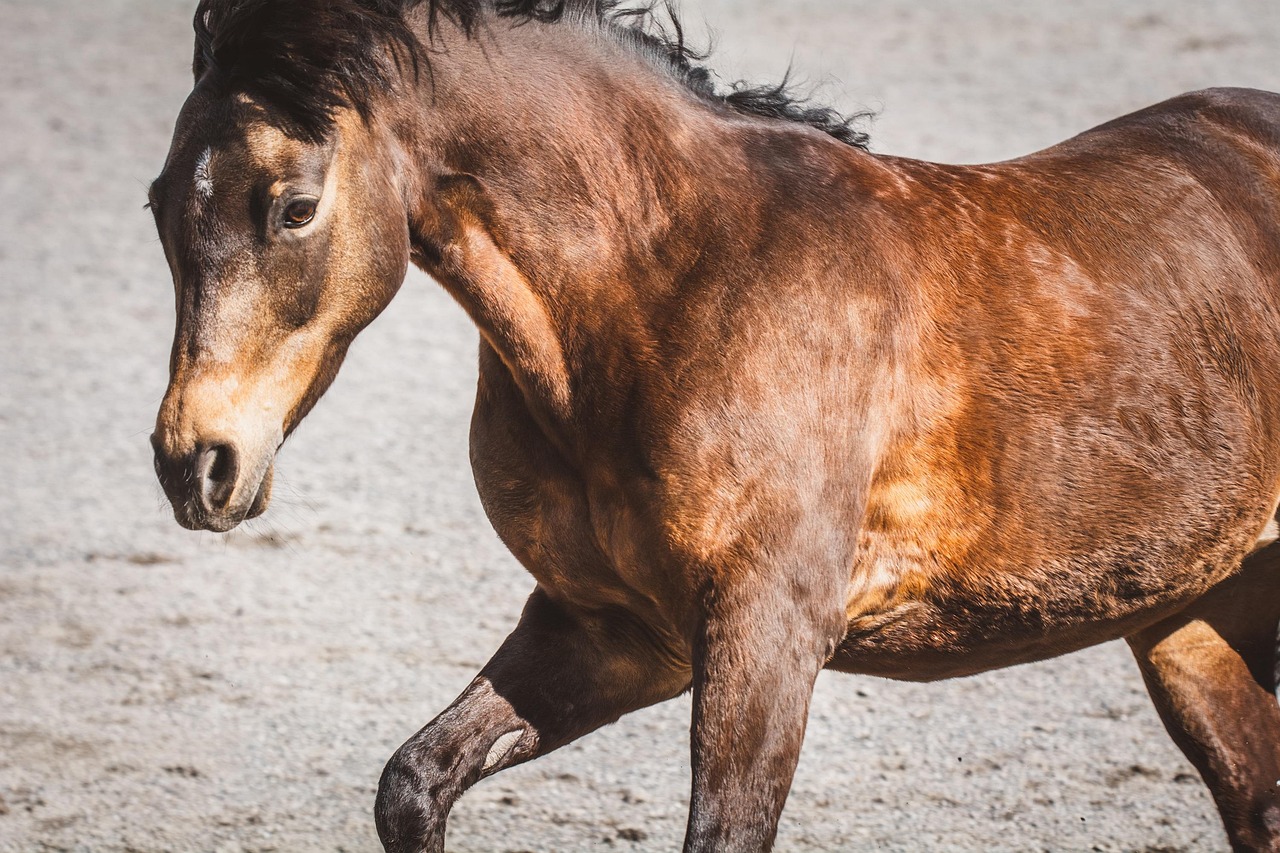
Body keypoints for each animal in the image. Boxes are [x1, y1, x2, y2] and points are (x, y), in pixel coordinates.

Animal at [146, 0, 1280, 849]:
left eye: (293, 206)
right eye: (160, 201)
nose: (194, 464)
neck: (661, 289)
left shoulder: (765, 637)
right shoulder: (614, 630)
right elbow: (413, 782)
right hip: (1193, 624)